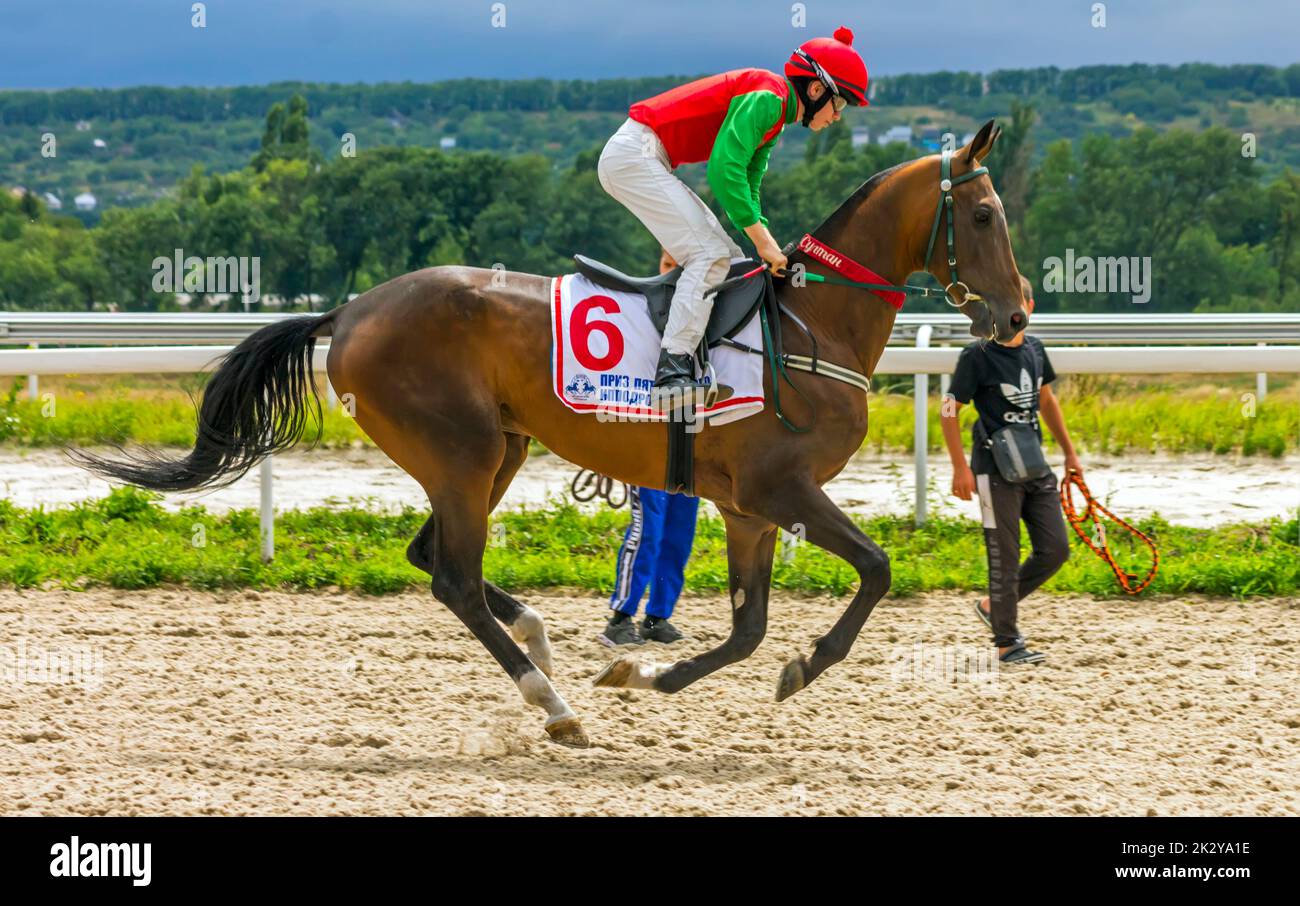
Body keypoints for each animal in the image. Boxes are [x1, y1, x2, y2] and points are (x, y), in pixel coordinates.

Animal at [76, 120, 1026, 748]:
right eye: (983, 217)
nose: (1016, 317)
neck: (809, 326)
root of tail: (350, 310)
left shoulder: (747, 508)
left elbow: (751, 628)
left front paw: (646, 671)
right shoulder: (780, 489)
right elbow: (877, 568)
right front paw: (802, 666)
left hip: (498, 449)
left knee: (433, 558)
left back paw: (540, 645)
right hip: (461, 453)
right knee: (453, 577)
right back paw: (552, 701)